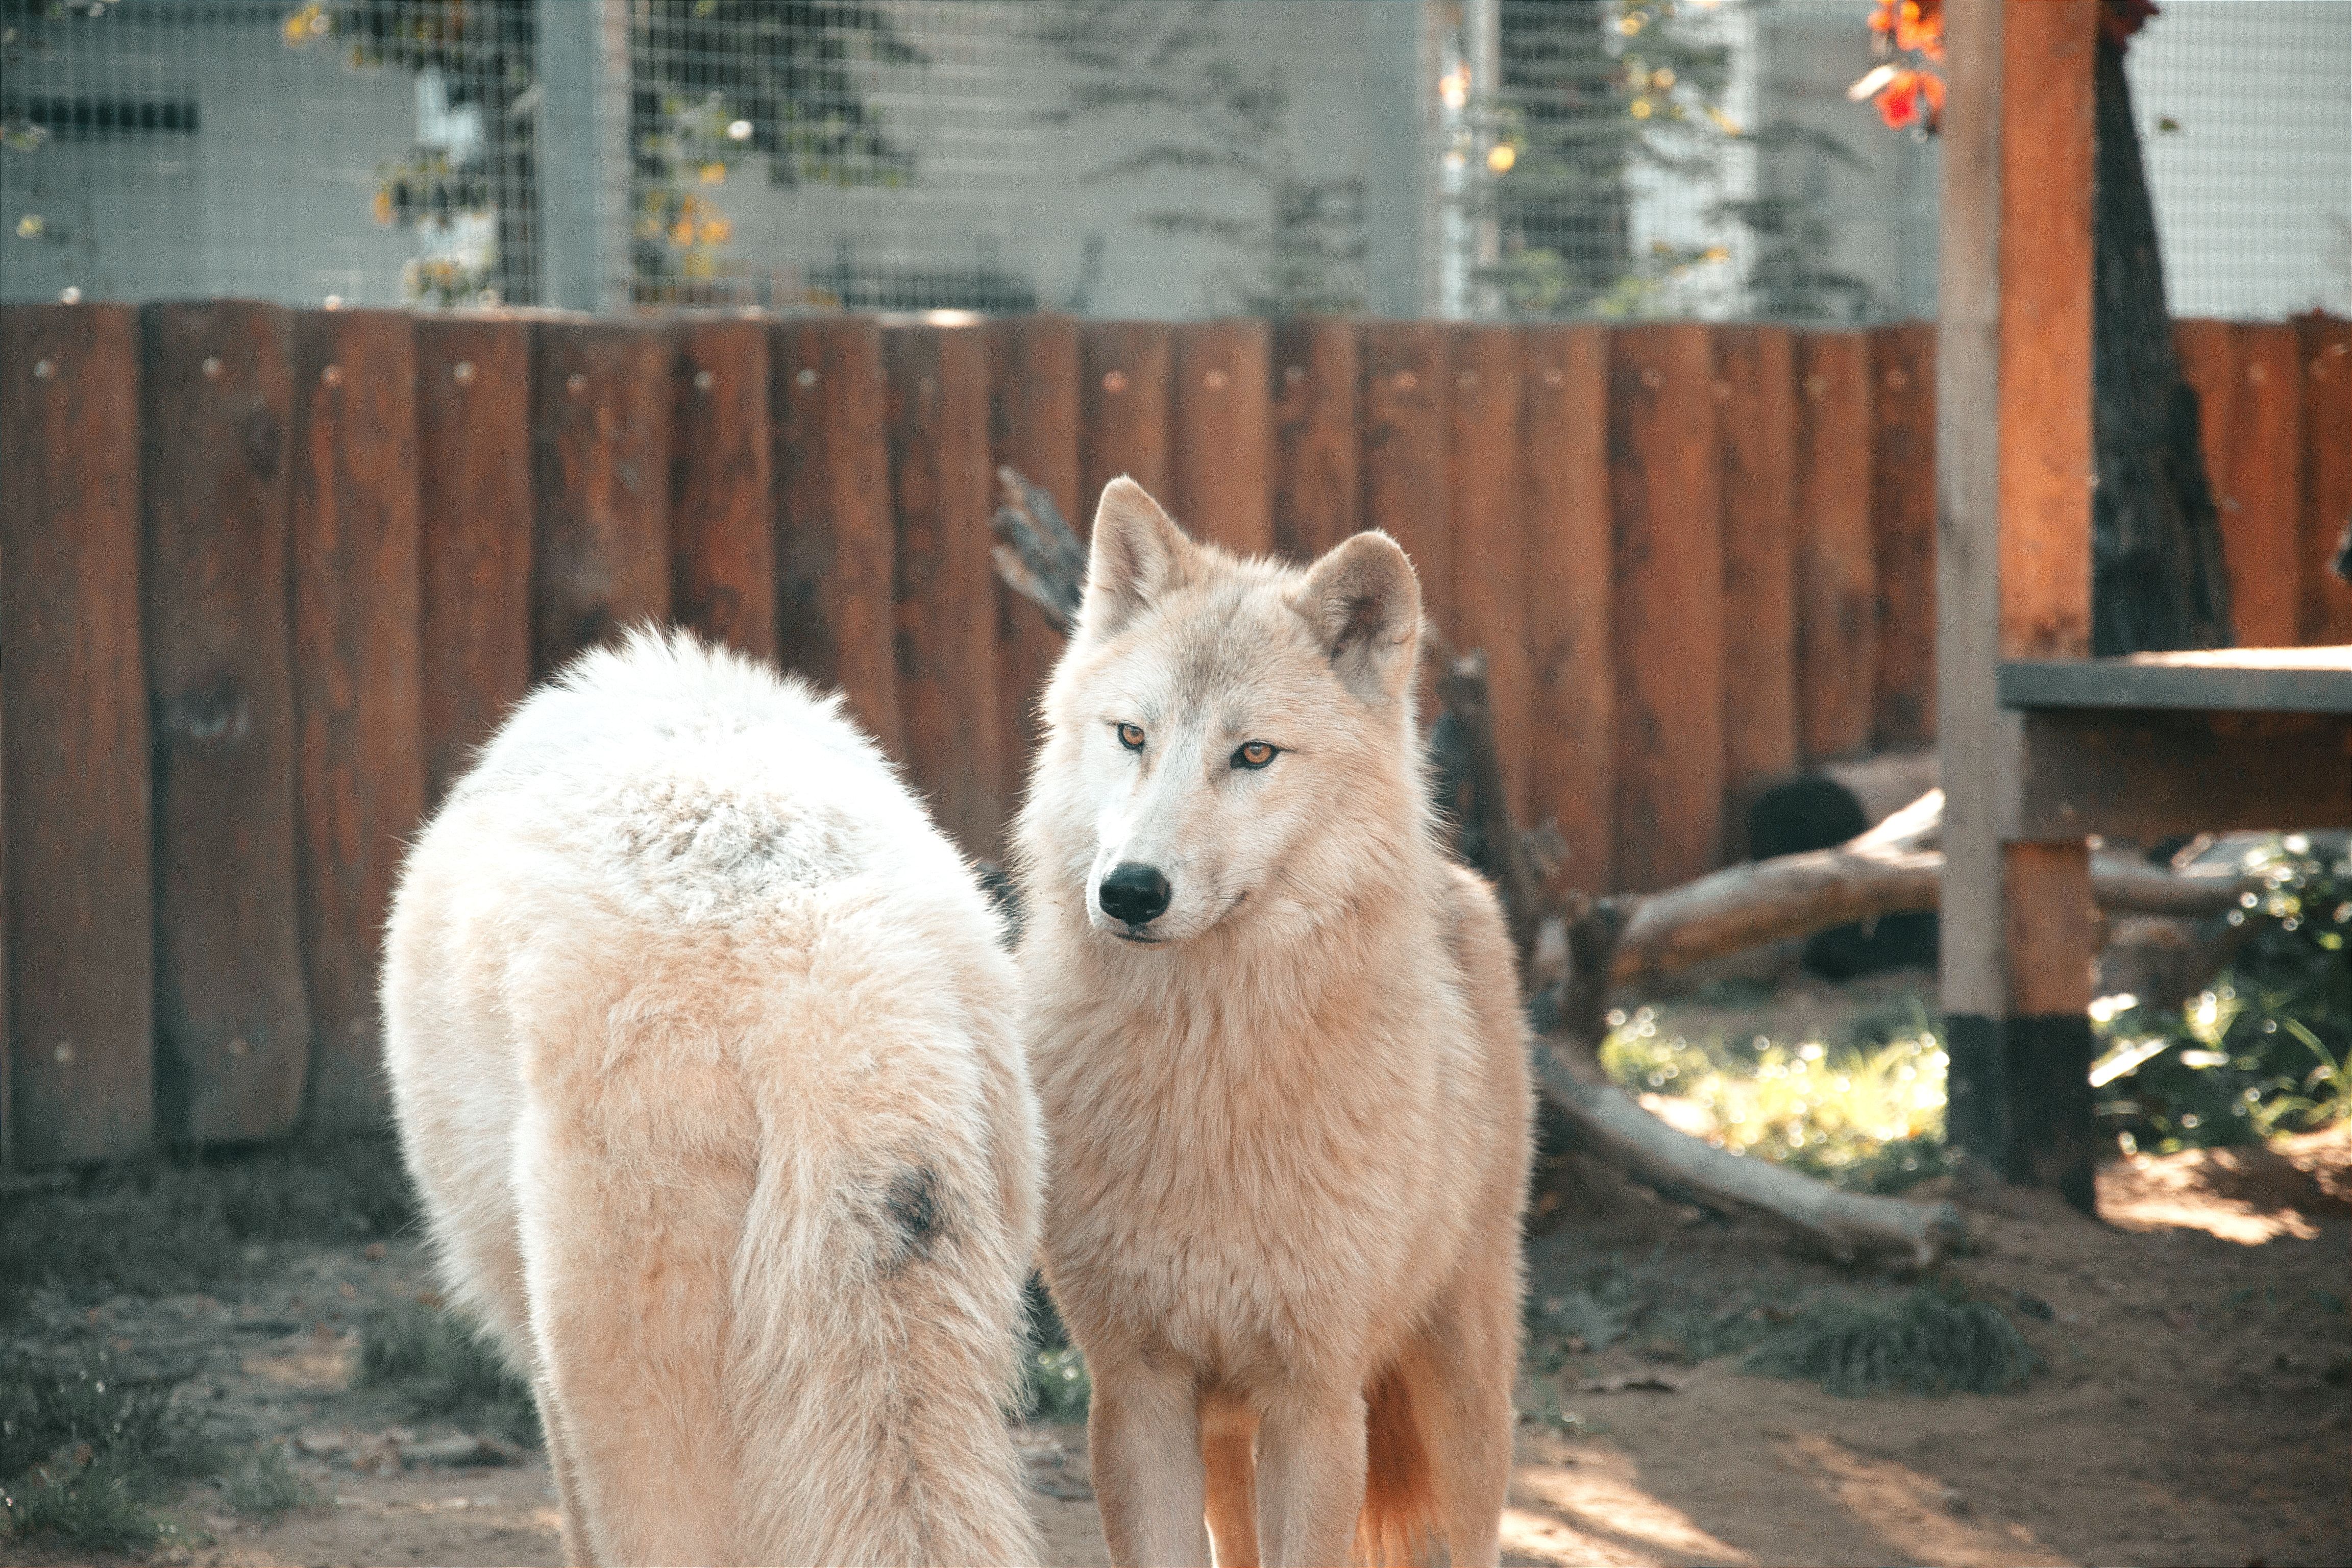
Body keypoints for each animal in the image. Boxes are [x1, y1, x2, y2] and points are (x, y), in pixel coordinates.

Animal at [1013, 480, 1534, 1568]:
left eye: (1252, 753)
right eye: (1131, 736)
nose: (1129, 891)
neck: (1208, 1063)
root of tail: (1457, 878)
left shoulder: (1316, 1398)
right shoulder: (1138, 1391)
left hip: (1463, 1395)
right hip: (1222, 1428)